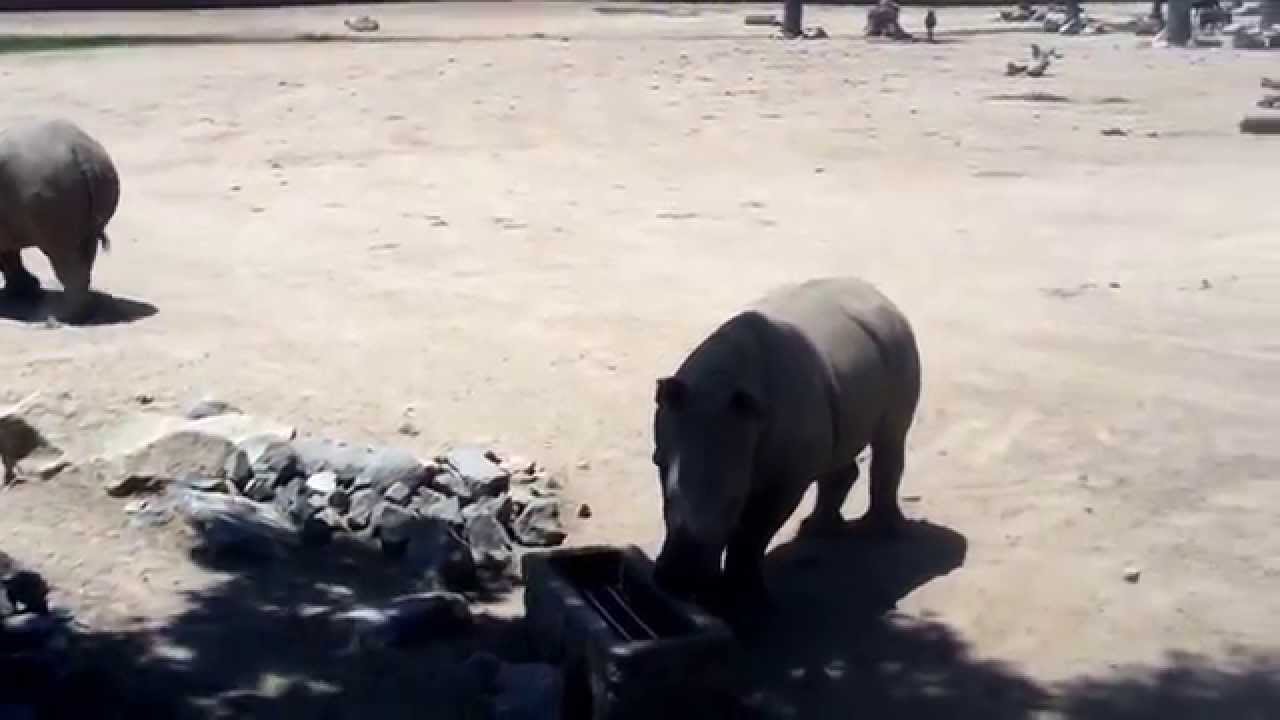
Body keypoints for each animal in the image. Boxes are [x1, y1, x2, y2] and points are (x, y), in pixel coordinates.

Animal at [0, 118, 120, 323]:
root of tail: (80, 152)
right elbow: (8, 256)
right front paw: (24, 291)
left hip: (48, 187)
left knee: (63, 255)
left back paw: (54, 318)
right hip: (98, 179)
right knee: (84, 251)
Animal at [651, 277, 922, 609]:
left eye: (734, 502)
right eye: (667, 498)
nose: (681, 580)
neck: (718, 386)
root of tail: (880, 296)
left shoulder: (785, 479)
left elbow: (753, 533)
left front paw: (747, 600)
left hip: (900, 343)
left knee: (891, 437)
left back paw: (883, 533)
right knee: (838, 447)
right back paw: (818, 531)